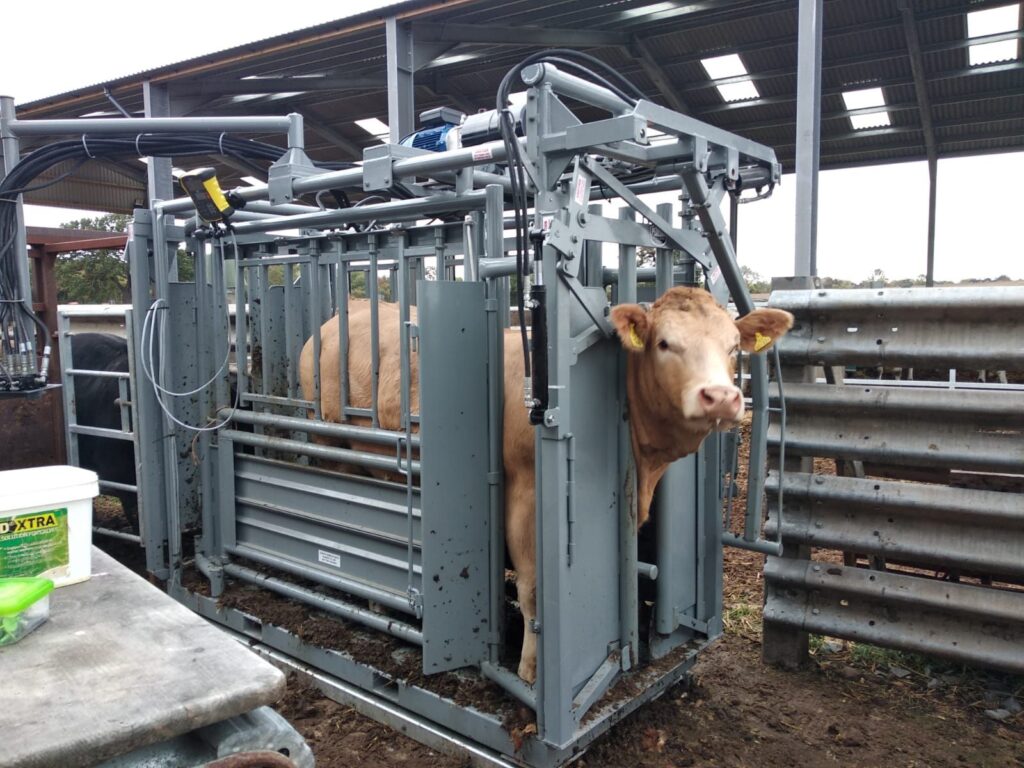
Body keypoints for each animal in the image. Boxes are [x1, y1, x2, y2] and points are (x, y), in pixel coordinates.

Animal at [299, 287, 793, 683]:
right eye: (665, 342)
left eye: (734, 347)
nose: (723, 397)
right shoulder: (525, 500)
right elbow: (534, 588)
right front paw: (531, 670)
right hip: (329, 442)